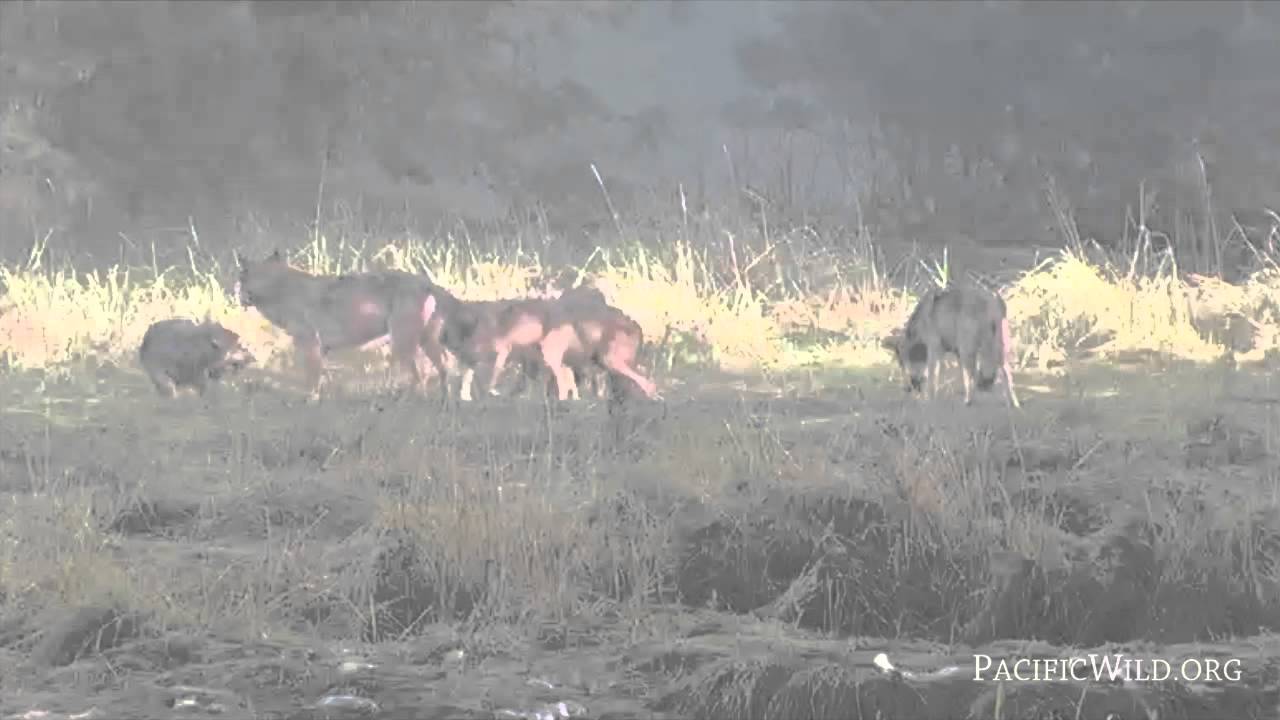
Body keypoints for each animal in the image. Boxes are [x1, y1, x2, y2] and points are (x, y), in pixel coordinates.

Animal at [234, 250, 440, 395]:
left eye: (242, 276)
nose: (238, 294)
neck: (281, 289)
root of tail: (426, 282)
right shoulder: (320, 348)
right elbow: (319, 377)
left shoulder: (310, 343)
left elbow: (312, 379)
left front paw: (310, 403)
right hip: (422, 344)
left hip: (404, 344)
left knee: (421, 377)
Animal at [882, 284, 1021, 408]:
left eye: (901, 363)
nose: (906, 389)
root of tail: (993, 299)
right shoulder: (956, 352)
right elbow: (962, 376)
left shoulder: (934, 349)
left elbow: (932, 376)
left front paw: (929, 398)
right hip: (997, 350)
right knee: (1005, 374)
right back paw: (1012, 403)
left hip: (970, 349)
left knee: (975, 373)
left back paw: (969, 401)